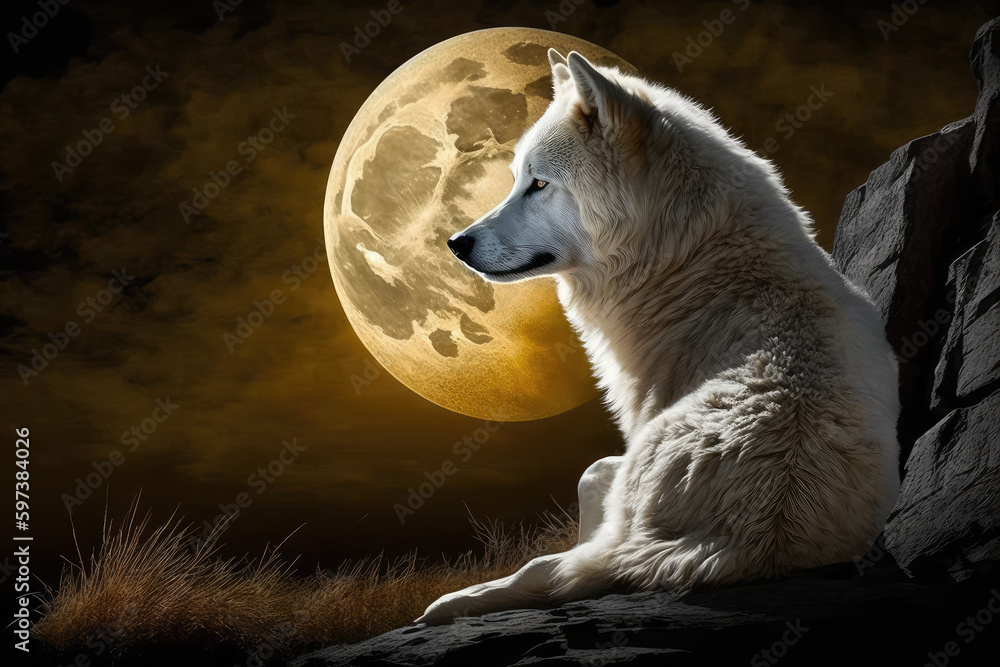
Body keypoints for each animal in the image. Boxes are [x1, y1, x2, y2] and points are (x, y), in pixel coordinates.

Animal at [416, 49, 899, 625]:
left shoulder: (635, 424)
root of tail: (751, 537)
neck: (688, 259)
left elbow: (590, 473)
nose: (456, 243)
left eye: (539, 184)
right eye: (516, 179)